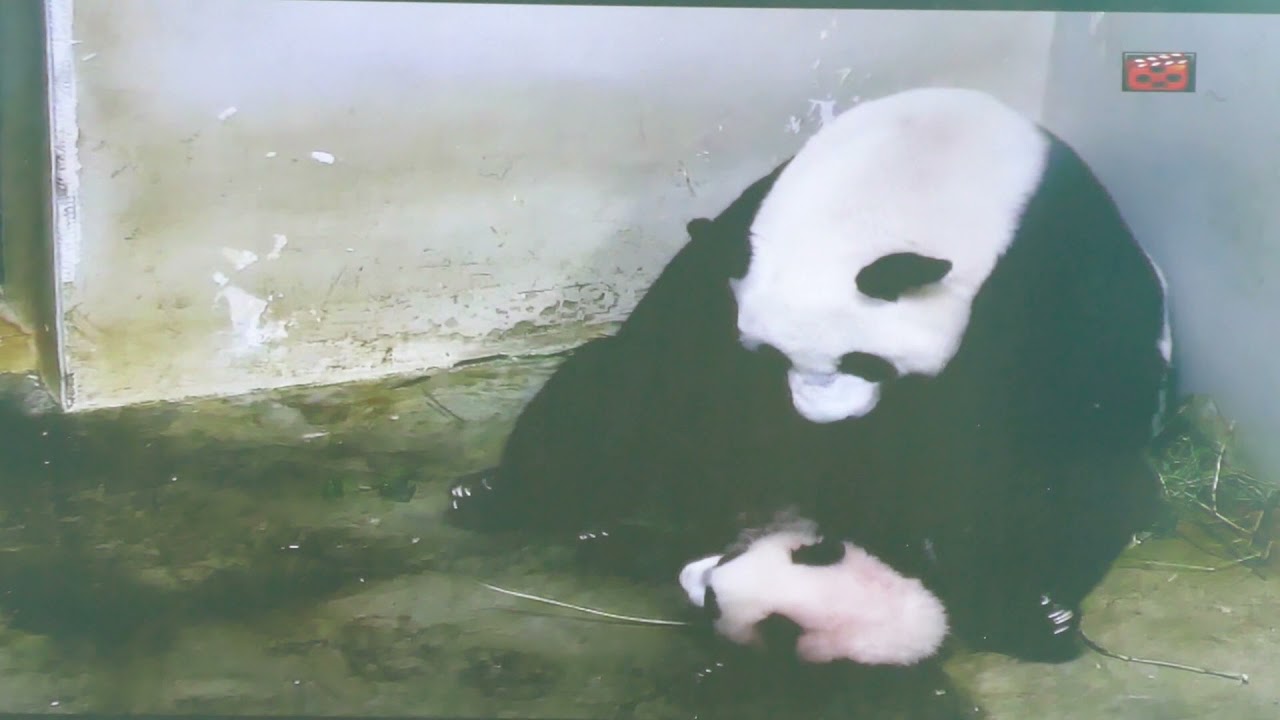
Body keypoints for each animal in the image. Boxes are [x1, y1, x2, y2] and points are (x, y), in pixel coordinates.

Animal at [447, 87, 1172, 667]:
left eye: (864, 361)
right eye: (773, 358)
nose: (825, 421)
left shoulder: (1046, 269)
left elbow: (1035, 432)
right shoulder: (736, 252)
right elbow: (658, 370)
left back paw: (1031, 615)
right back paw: (499, 498)